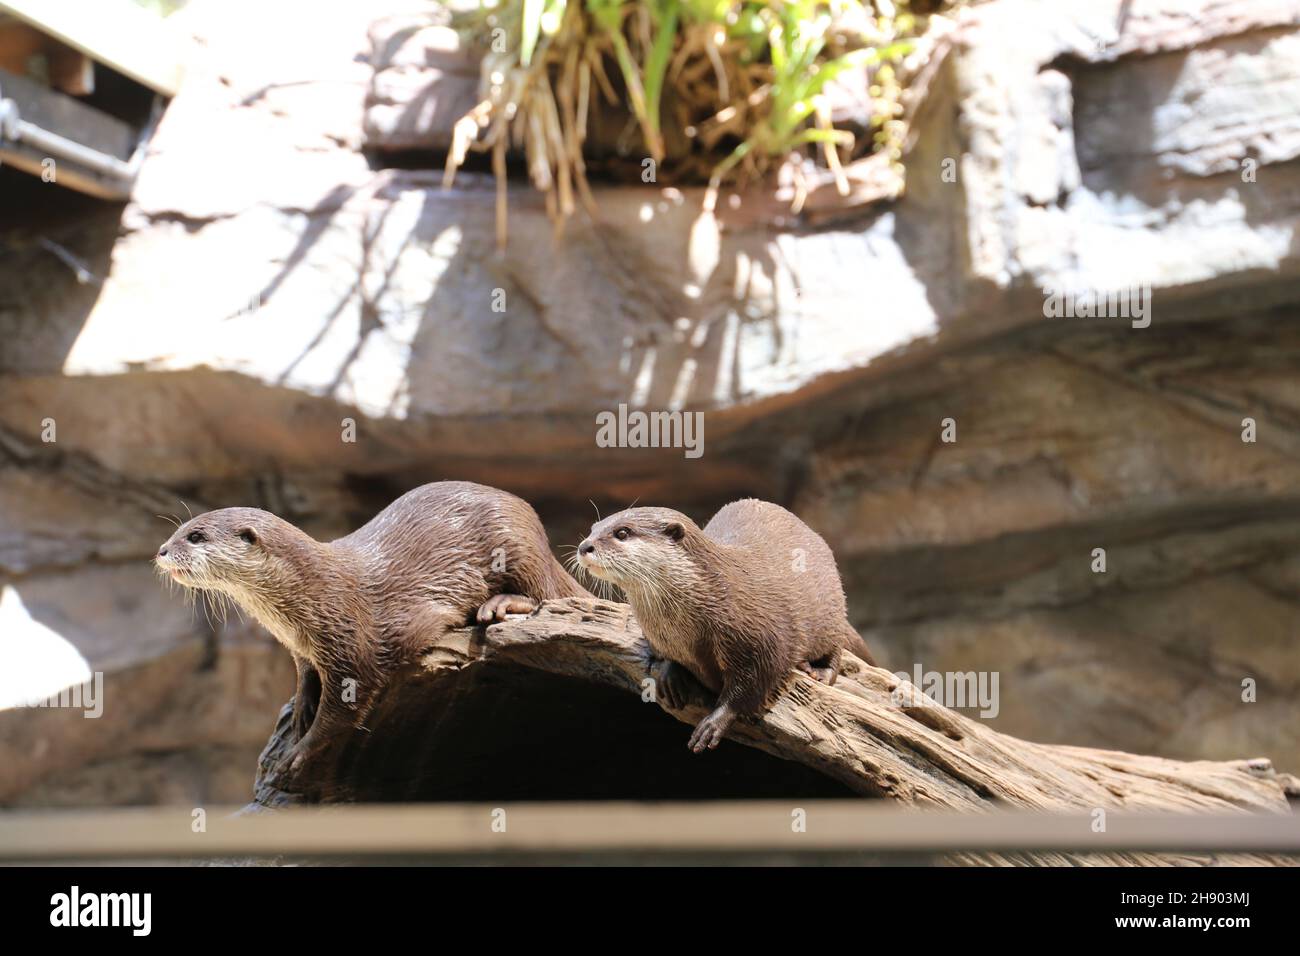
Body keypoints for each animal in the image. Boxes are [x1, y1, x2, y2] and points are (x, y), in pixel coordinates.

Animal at [155, 481, 589, 790]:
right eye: (180, 531)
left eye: (195, 536)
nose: (161, 550)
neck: (310, 597)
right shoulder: (304, 650)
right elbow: (305, 678)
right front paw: (301, 710)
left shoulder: (353, 646)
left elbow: (344, 709)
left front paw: (299, 752)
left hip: (516, 544)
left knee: (544, 590)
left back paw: (499, 605)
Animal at [577, 499, 874, 753]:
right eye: (593, 528)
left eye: (622, 532)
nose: (584, 546)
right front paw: (671, 674)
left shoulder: (762, 640)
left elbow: (753, 684)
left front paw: (715, 721)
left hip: (831, 610)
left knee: (835, 644)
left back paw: (821, 671)